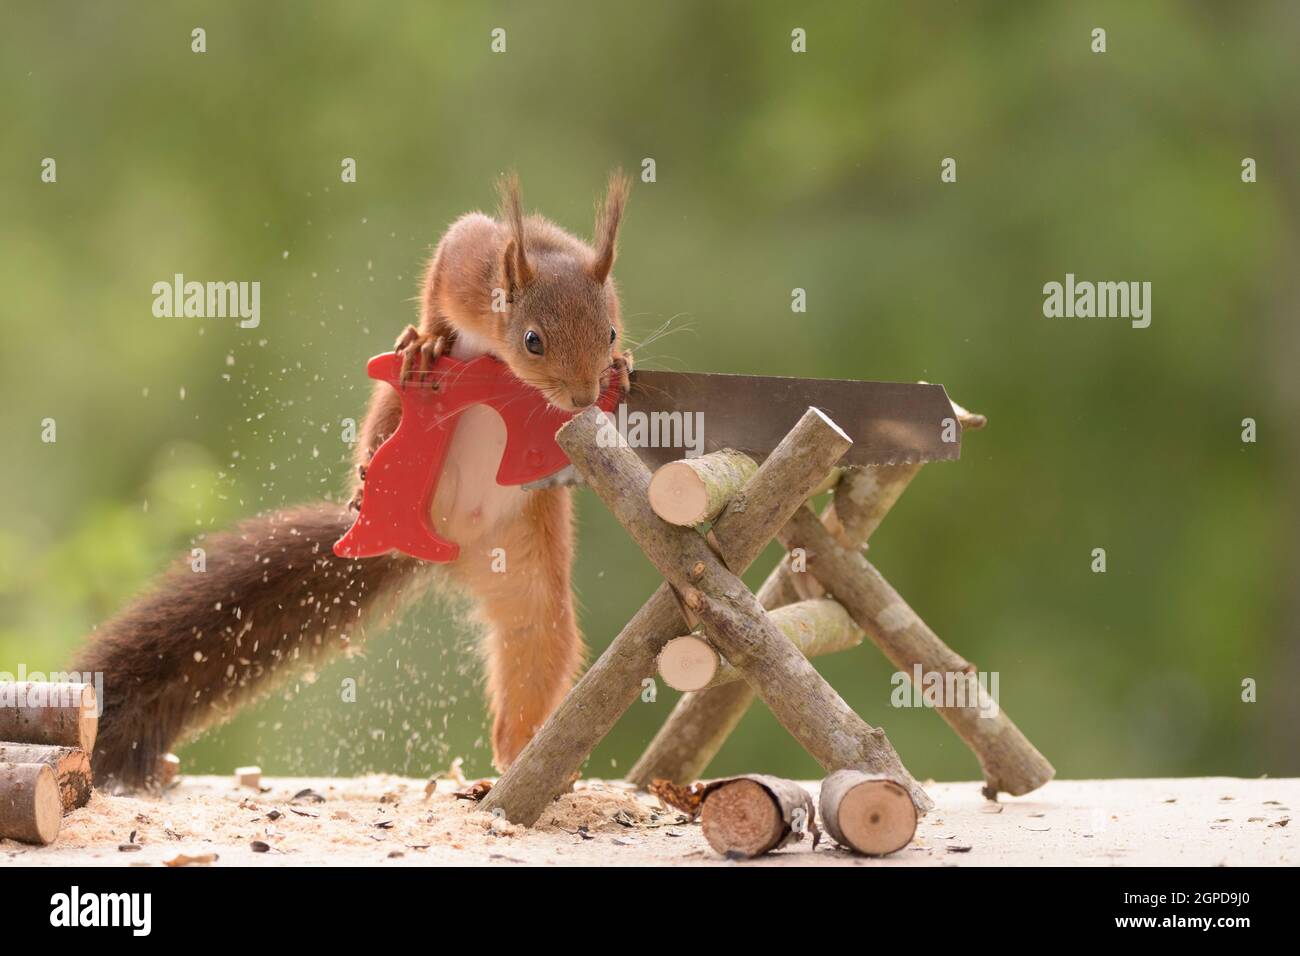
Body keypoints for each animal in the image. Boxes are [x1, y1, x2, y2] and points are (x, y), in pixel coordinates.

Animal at [74, 171, 633, 788]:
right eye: (534, 340)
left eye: (609, 332)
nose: (583, 399)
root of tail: (445, 537)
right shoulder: (465, 262)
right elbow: (439, 281)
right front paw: (428, 338)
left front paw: (625, 367)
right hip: (394, 410)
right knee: (383, 429)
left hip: (527, 573)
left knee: (535, 645)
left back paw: (522, 759)